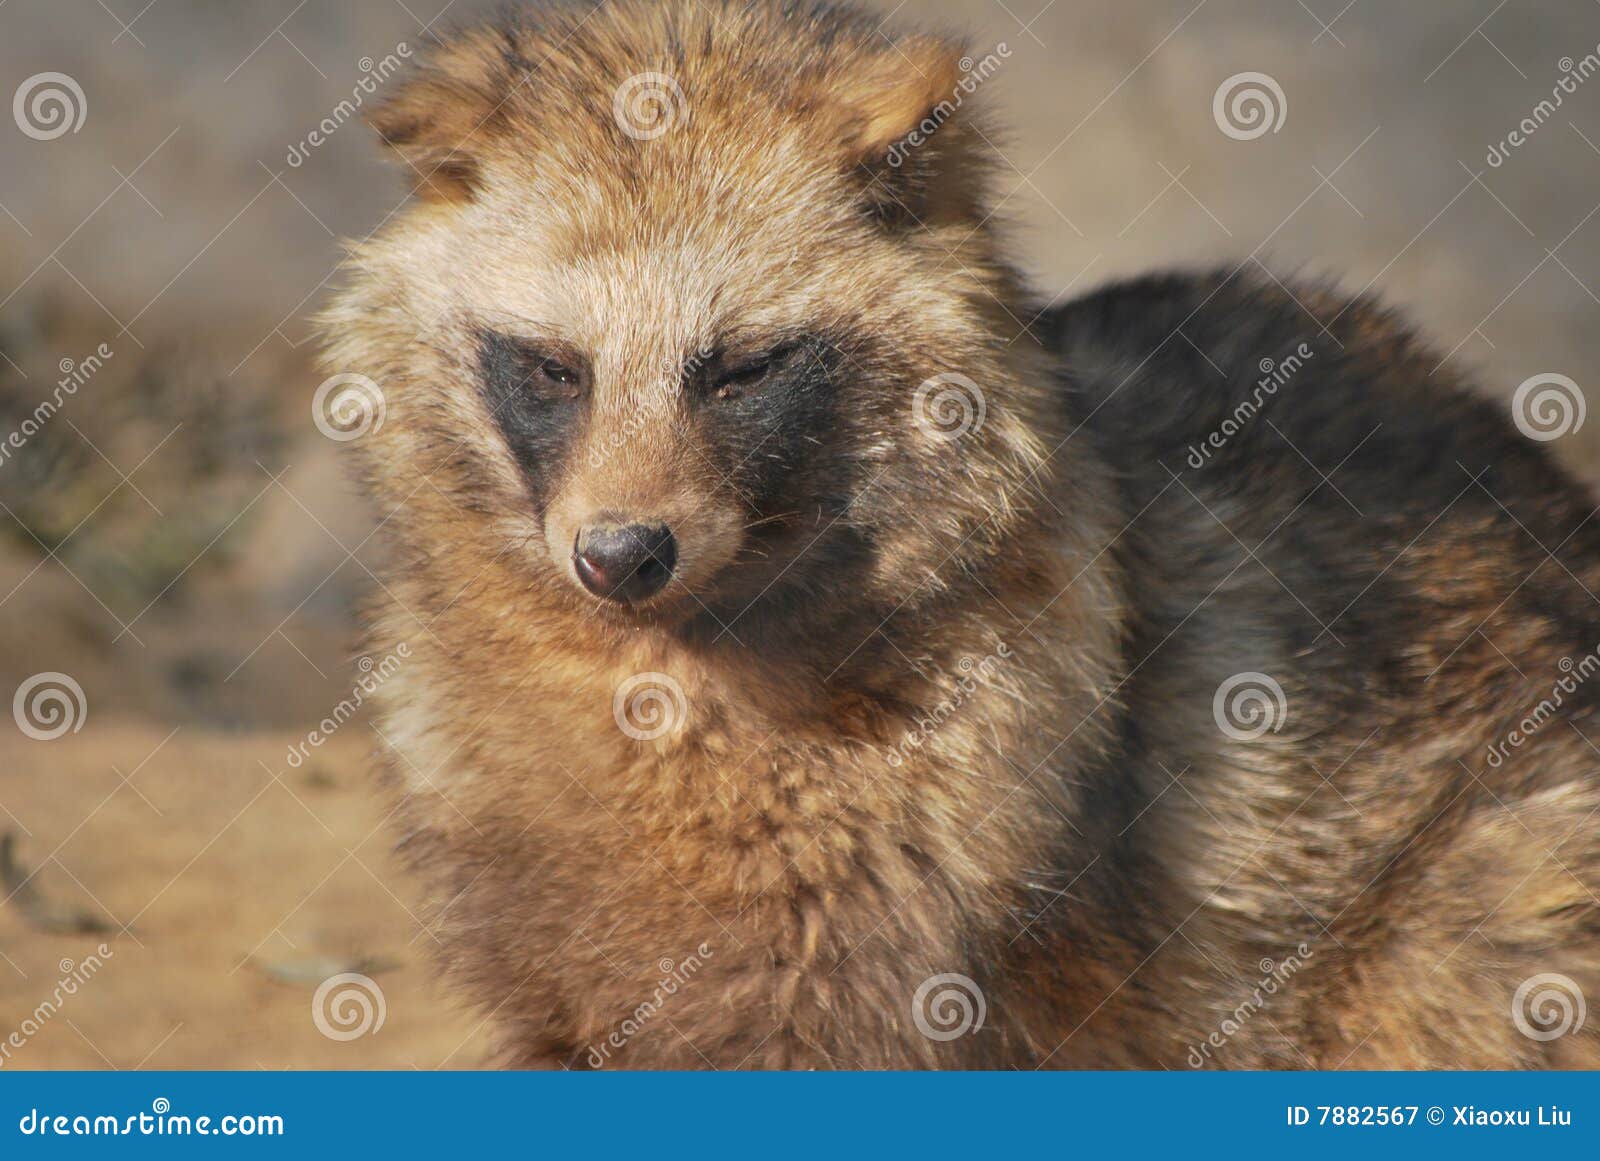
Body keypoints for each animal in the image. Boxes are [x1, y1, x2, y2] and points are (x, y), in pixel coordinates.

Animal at [320, 0, 1600, 1068]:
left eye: (740, 371)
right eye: (553, 368)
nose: (620, 558)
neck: (674, 664)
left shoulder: (930, 932)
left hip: (1488, 886)